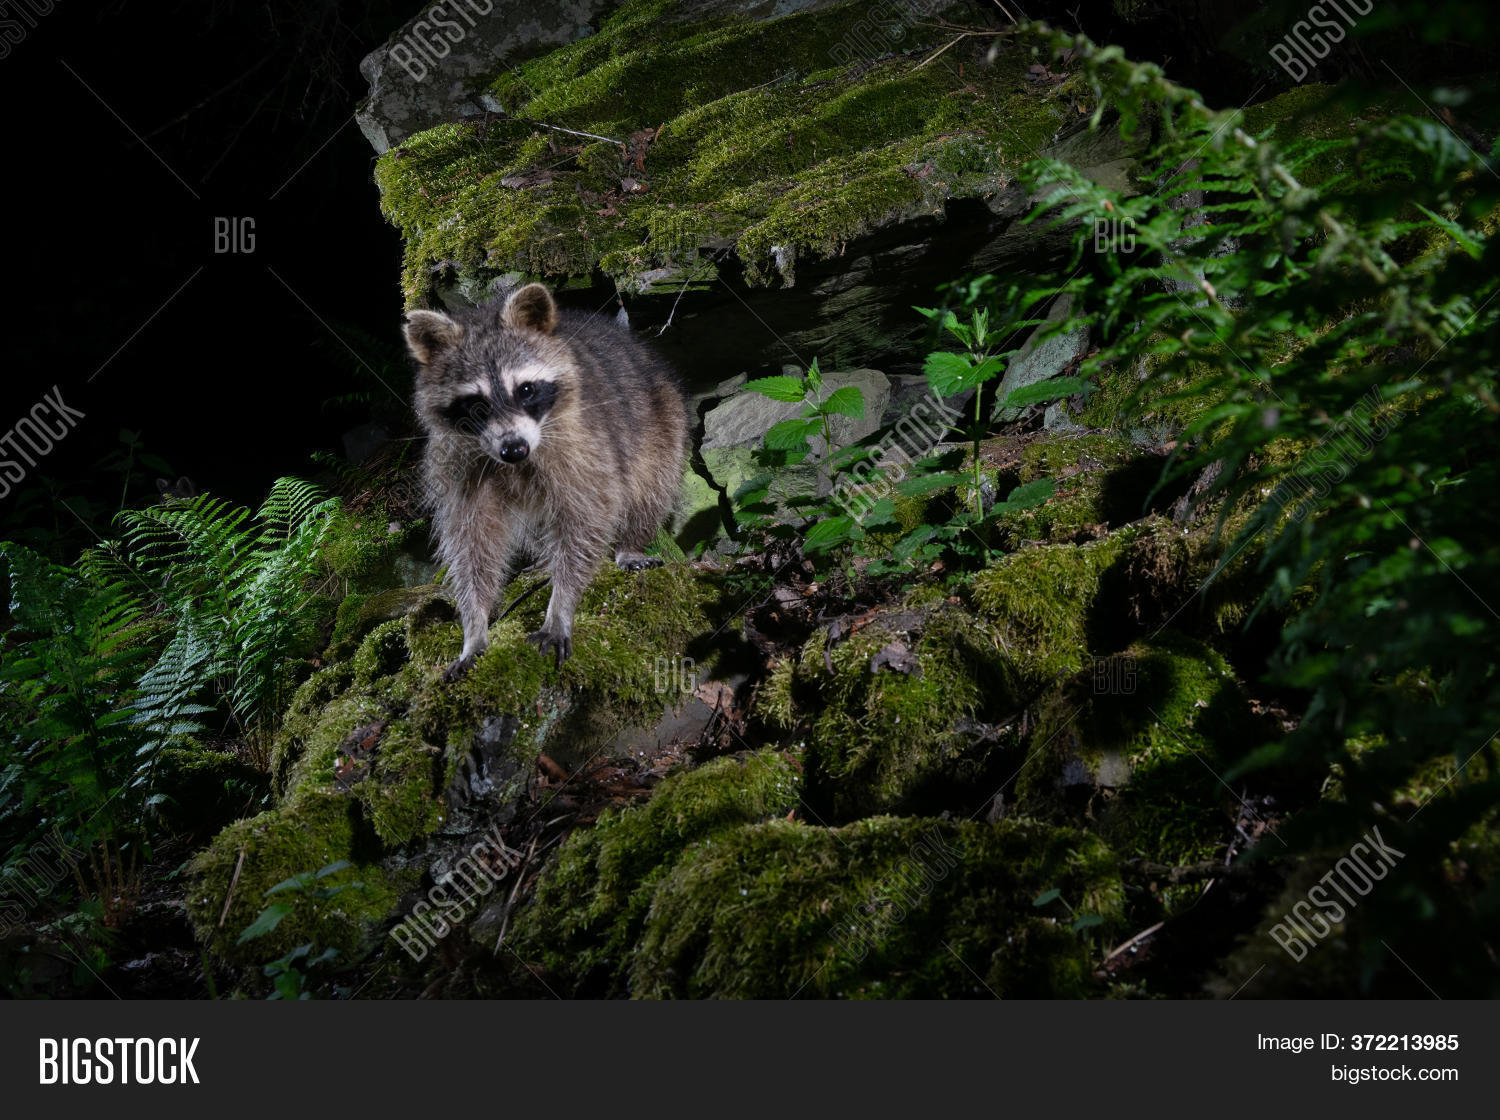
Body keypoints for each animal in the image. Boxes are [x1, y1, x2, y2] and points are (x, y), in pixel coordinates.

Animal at [405, 283, 688, 680]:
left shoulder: (582, 445)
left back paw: (631, 542)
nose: (514, 449)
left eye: (525, 390)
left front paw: (560, 607)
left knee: (652, 484)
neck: (514, 463)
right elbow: (472, 543)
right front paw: (474, 628)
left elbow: (587, 516)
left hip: (663, 417)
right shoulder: (459, 465)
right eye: (477, 404)